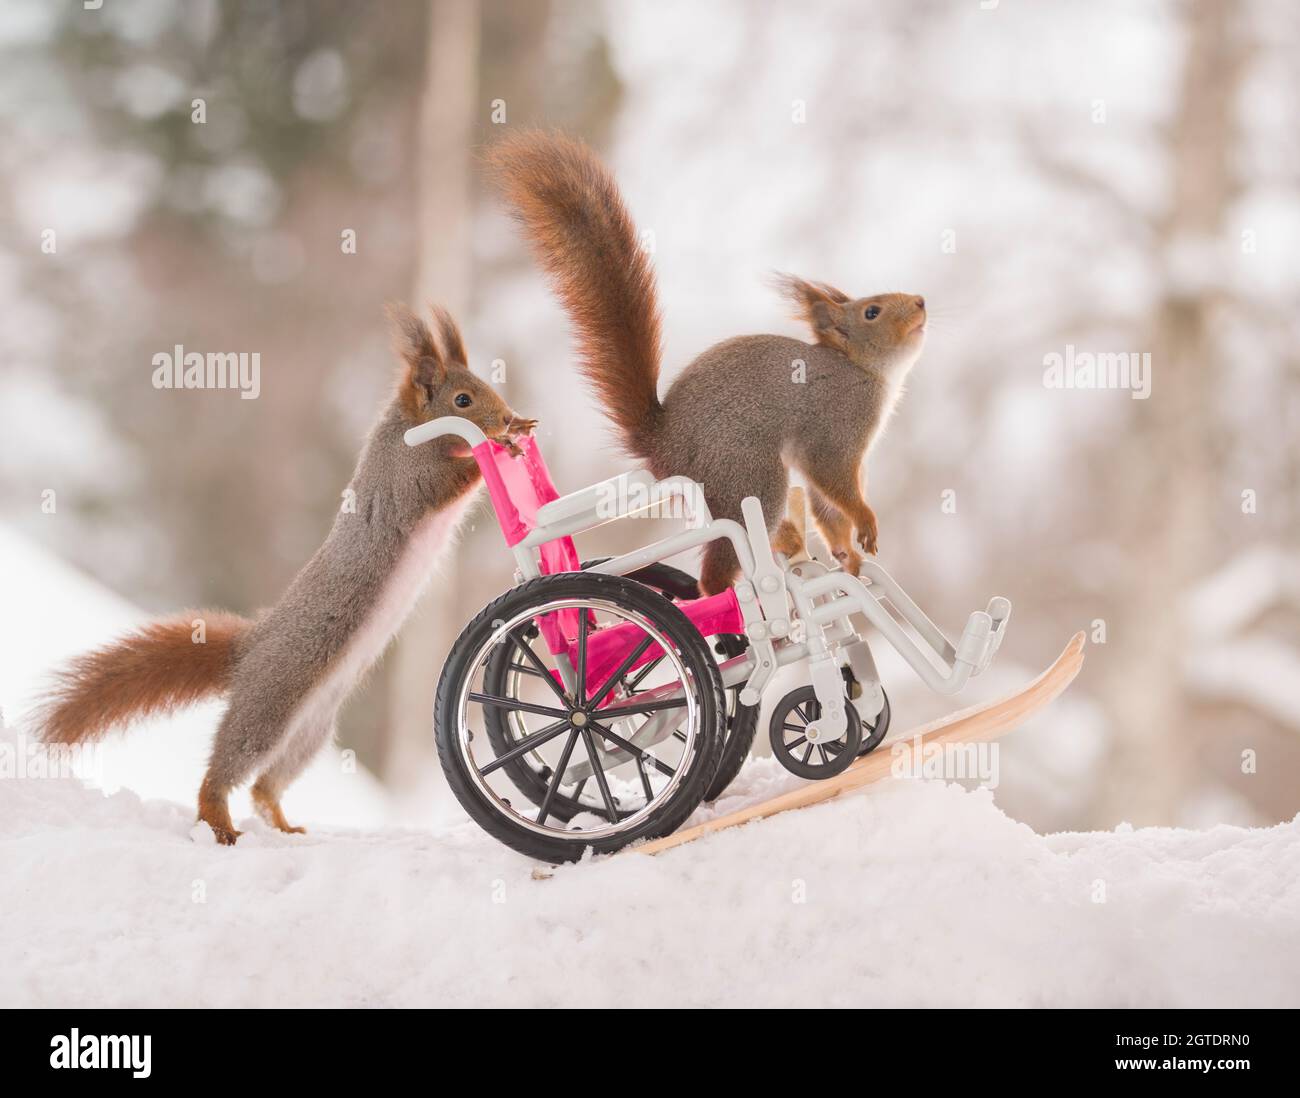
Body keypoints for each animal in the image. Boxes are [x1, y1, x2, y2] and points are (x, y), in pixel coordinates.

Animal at [35, 305, 536, 845]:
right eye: (462, 400)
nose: (504, 417)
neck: (408, 432)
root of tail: (249, 650)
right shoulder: (406, 481)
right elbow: (452, 483)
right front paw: (503, 444)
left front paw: (519, 426)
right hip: (272, 704)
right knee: (228, 766)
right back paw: (220, 822)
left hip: (308, 732)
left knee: (263, 785)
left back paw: (283, 825)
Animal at [486, 131, 927, 594]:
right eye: (872, 312)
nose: (921, 302)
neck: (864, 370)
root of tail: (664, 447)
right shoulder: (834, 428)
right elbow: (834, 483)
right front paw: (866, 522)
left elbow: (827, 508)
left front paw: (848, 557)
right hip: (748, 475)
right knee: (722, 562)